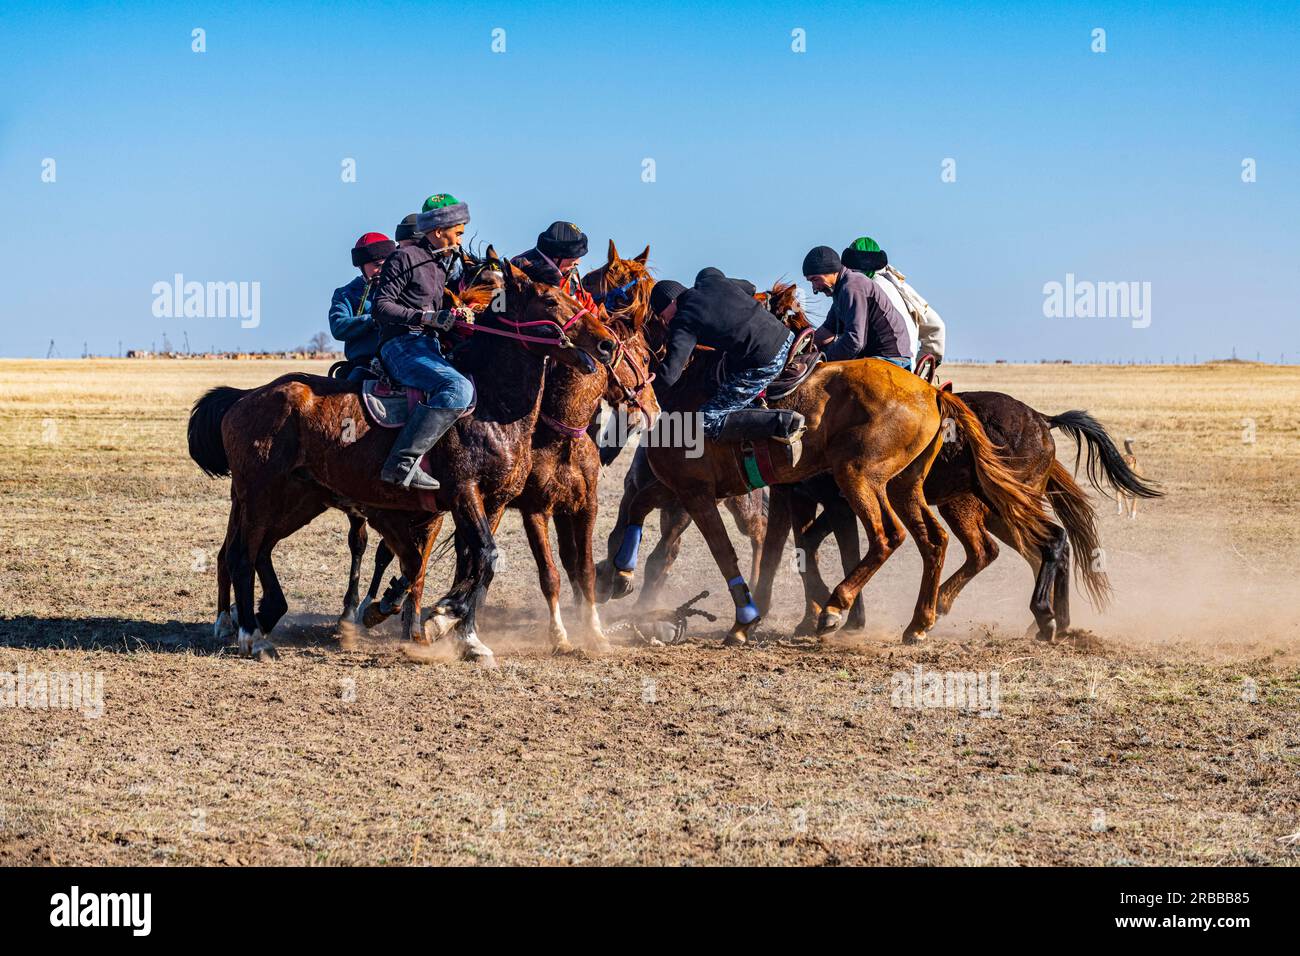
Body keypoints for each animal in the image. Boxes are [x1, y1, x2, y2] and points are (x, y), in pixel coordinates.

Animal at [188, 252, 618, 664]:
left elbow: (475, 566)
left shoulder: (491, 503)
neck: (491, 407)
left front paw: (465, 637)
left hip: (297, 500)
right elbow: (482, 557)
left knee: (259, 550)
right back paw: (250, 635)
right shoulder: (463, 494)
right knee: (241, 556)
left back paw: (262, 619)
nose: (607, 343)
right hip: (259, 495)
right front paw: (441, 616)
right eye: (549, 299)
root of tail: (245, 398)